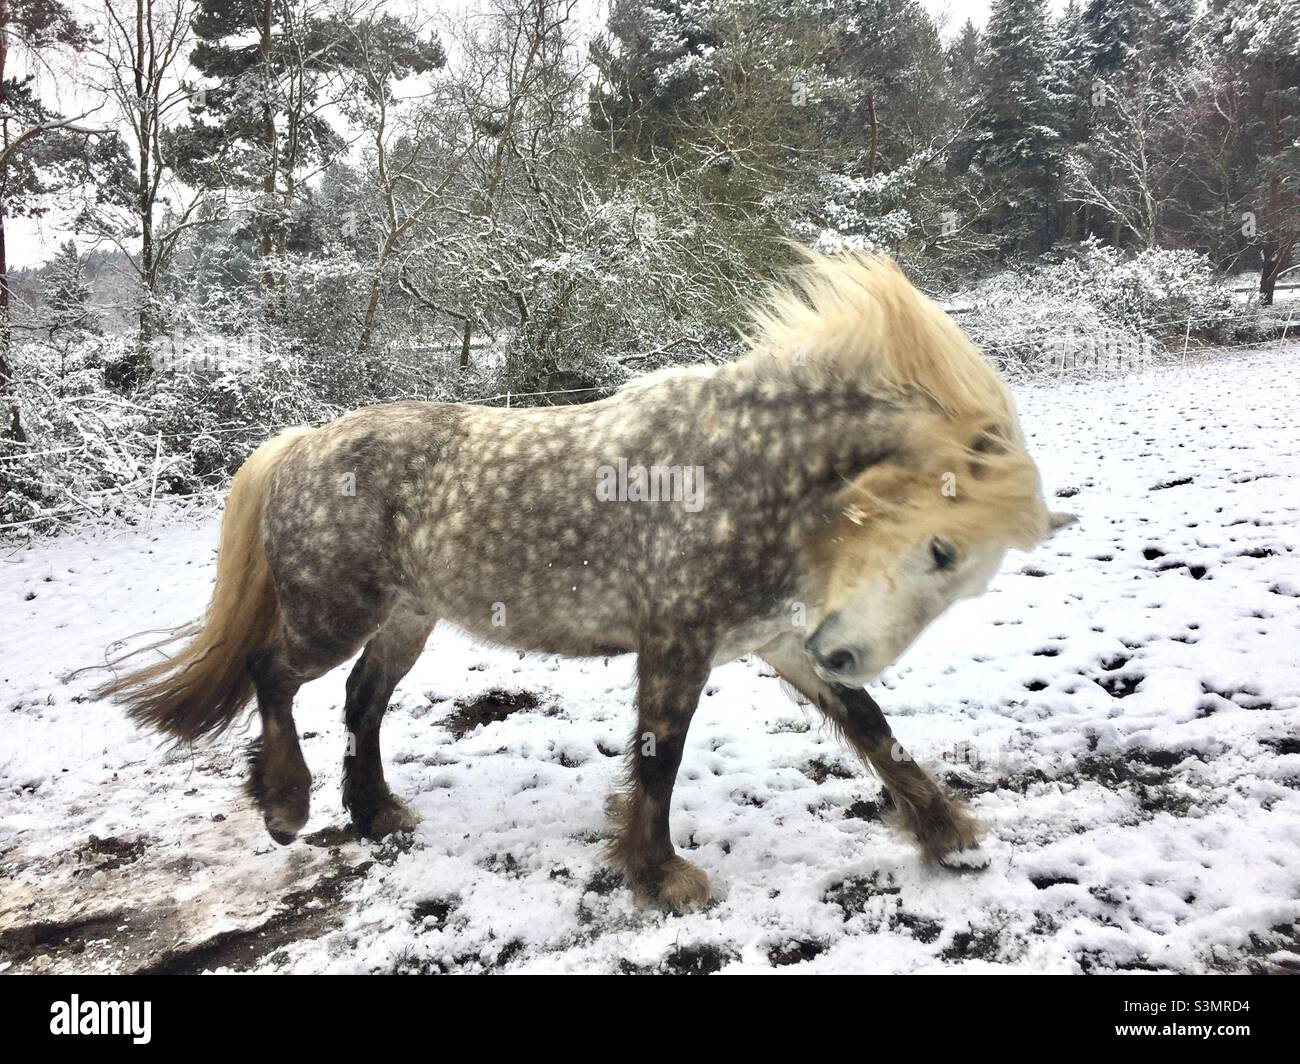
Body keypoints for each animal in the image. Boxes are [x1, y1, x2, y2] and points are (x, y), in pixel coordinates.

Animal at [102, 250, 1074, 912]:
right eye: (940, 548)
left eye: (966, 575)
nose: (850, 652)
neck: (746, 469)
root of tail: (298, 443)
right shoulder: (679, 642)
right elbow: (659, 755)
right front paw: (661, 876)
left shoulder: (783, 644)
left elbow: (873, 730)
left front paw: (950, 838)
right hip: (335, 612)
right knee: (273, 673)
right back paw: (286, 807)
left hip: (408, 617)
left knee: (361, 702)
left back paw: (376, 814)